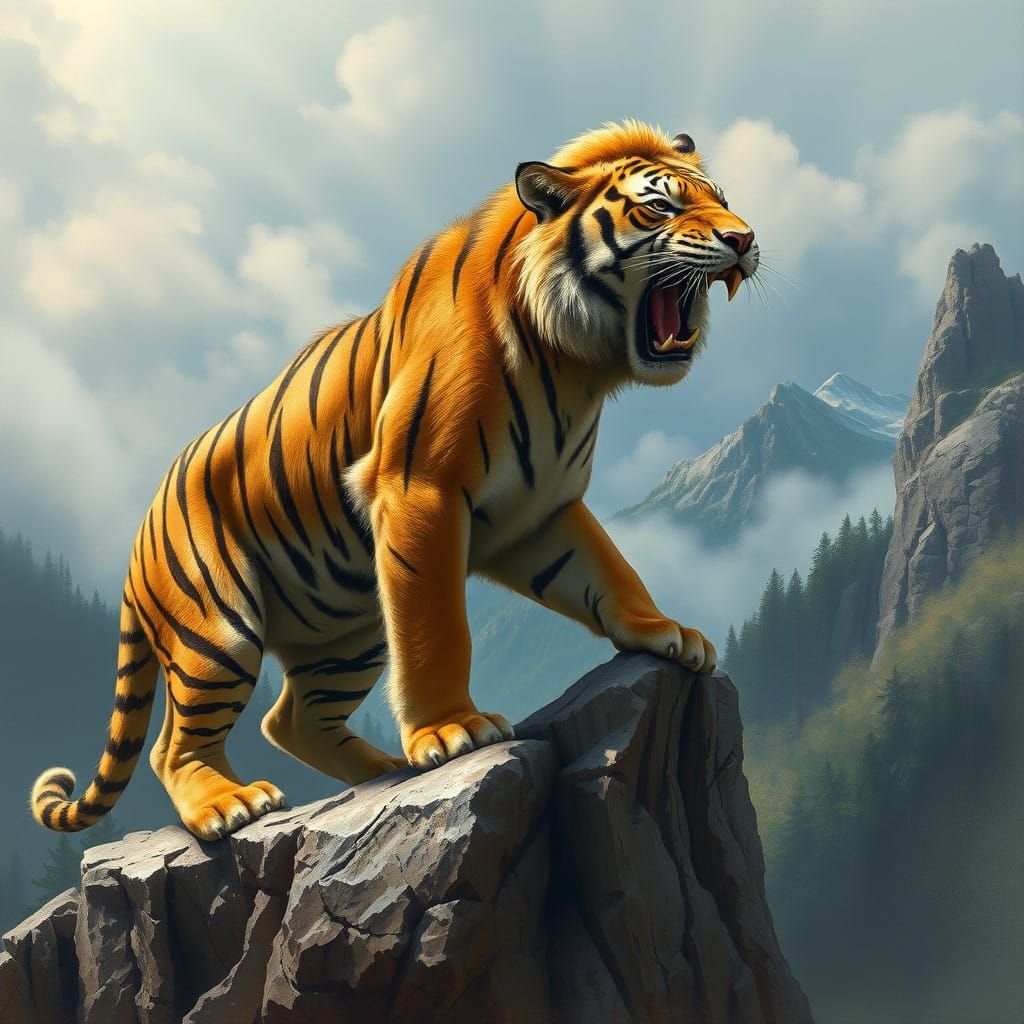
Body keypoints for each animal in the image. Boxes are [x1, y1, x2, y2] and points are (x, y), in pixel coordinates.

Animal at [31, 120, 758, 841]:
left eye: (723, 200)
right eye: (660, 206)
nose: (745, 239)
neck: (572, 364)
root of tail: (136, 539)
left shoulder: (540, 510)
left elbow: (609, 569)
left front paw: (667, 632)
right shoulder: (422, 490)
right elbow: (438, 630)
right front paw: (453, 730)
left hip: (347, 633)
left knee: (291, 718)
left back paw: (381, 773)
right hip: (217, 630)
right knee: (173, 746)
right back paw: (229, 804)